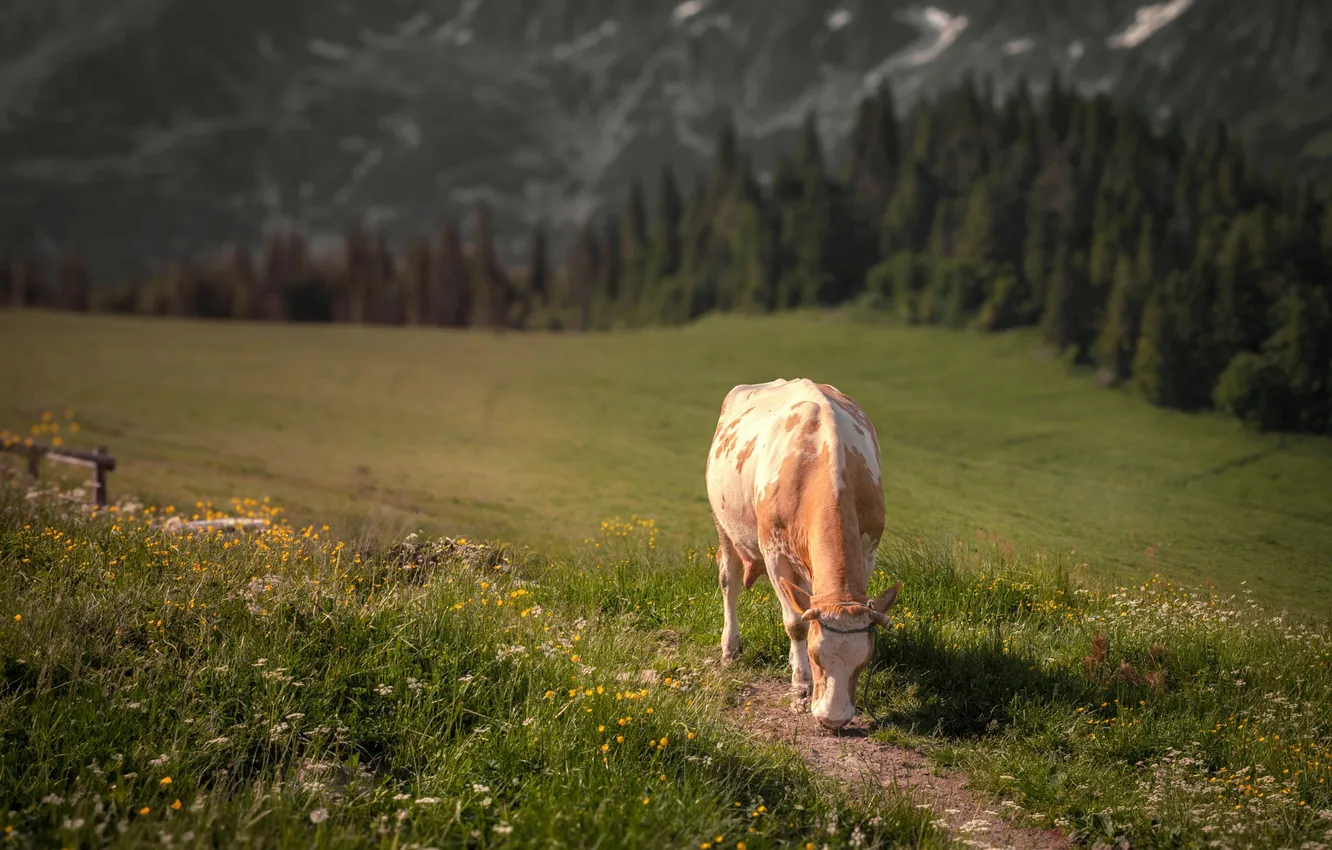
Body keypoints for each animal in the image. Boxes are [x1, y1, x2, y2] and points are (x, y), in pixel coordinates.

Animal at [705, 378, 900, 731]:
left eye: (864, 661)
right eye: (815, 654)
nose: (833, 720)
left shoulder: (868, 552)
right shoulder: (773, 552)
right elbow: (796, 622)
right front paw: (800, 685)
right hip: (722, 522)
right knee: (729, 580)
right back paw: (730, 648)